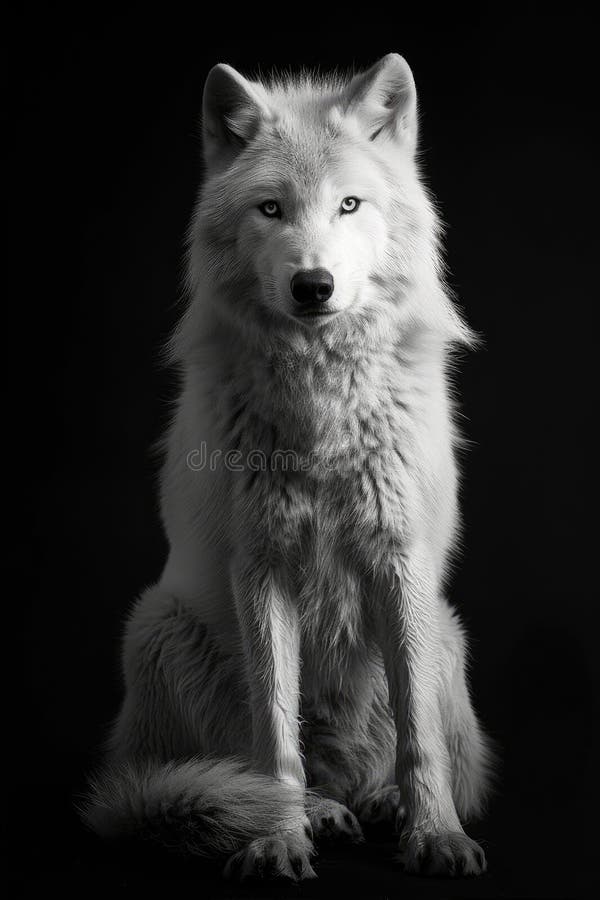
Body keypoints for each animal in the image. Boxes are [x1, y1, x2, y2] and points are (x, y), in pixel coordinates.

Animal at [82, 53, 494, 881]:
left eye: (349, 205)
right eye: (271, 210)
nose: (313, 287)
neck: (323, 408)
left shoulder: (401, 563)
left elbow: (420, 739)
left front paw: (435, 834)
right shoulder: (261, 567)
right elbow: (274, 734)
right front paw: (278, 836)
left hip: (447, 633)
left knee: (396, 751)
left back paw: (378, 802)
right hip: (155, 623)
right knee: (259, 760)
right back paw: (320, 811)